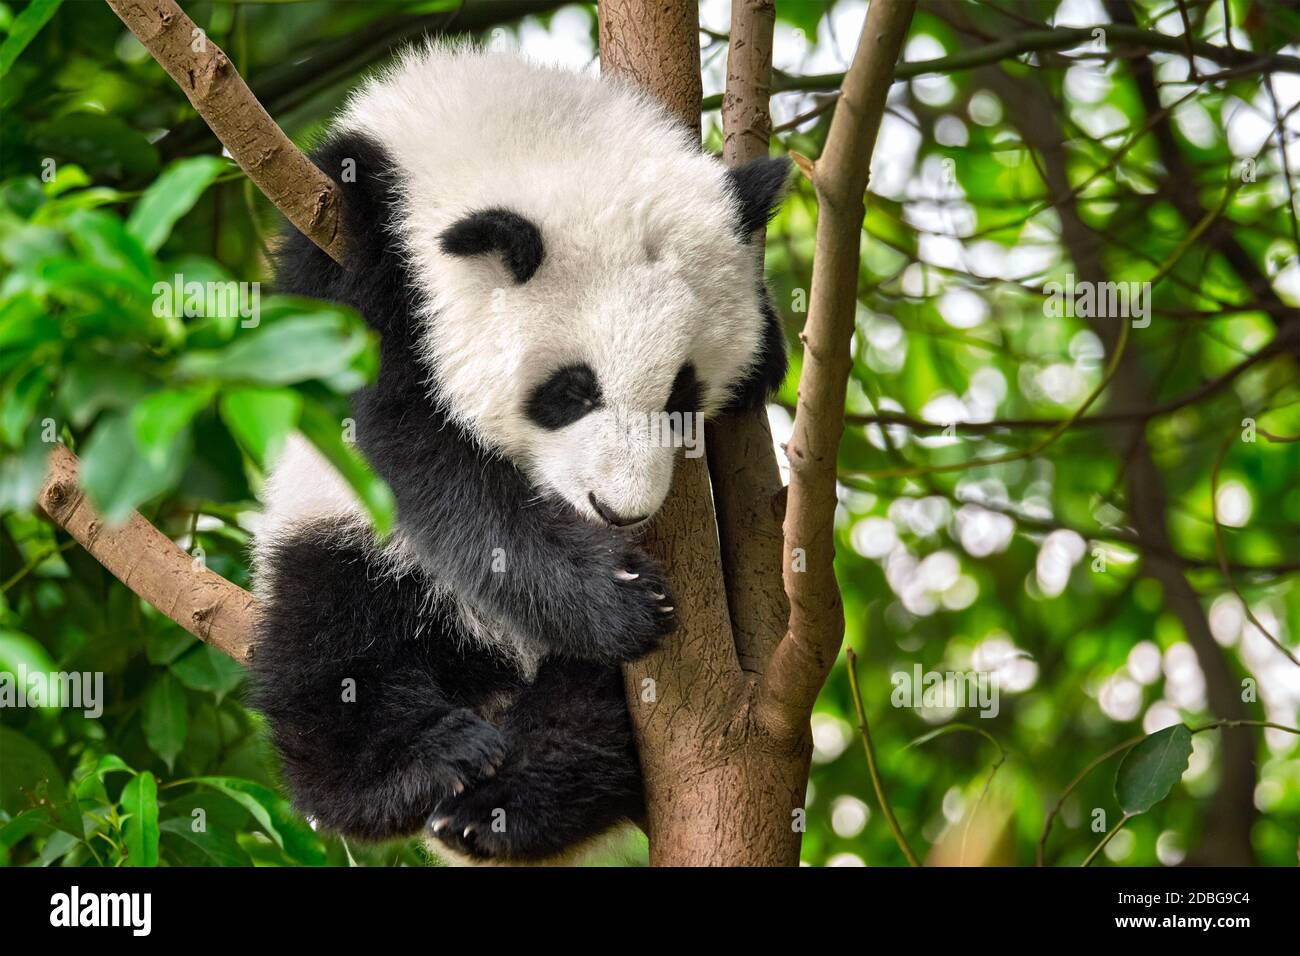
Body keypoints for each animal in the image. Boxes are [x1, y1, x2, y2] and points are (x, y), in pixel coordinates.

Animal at [250, 41, 789, 864]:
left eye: (683, 394)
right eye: (570, 391)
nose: (618, 510)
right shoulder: (351, 242)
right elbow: (417, 451)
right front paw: (611, 596)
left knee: (587, 710)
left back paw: (510, 801)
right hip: (339, 542)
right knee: (330, 648)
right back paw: (424, 766)